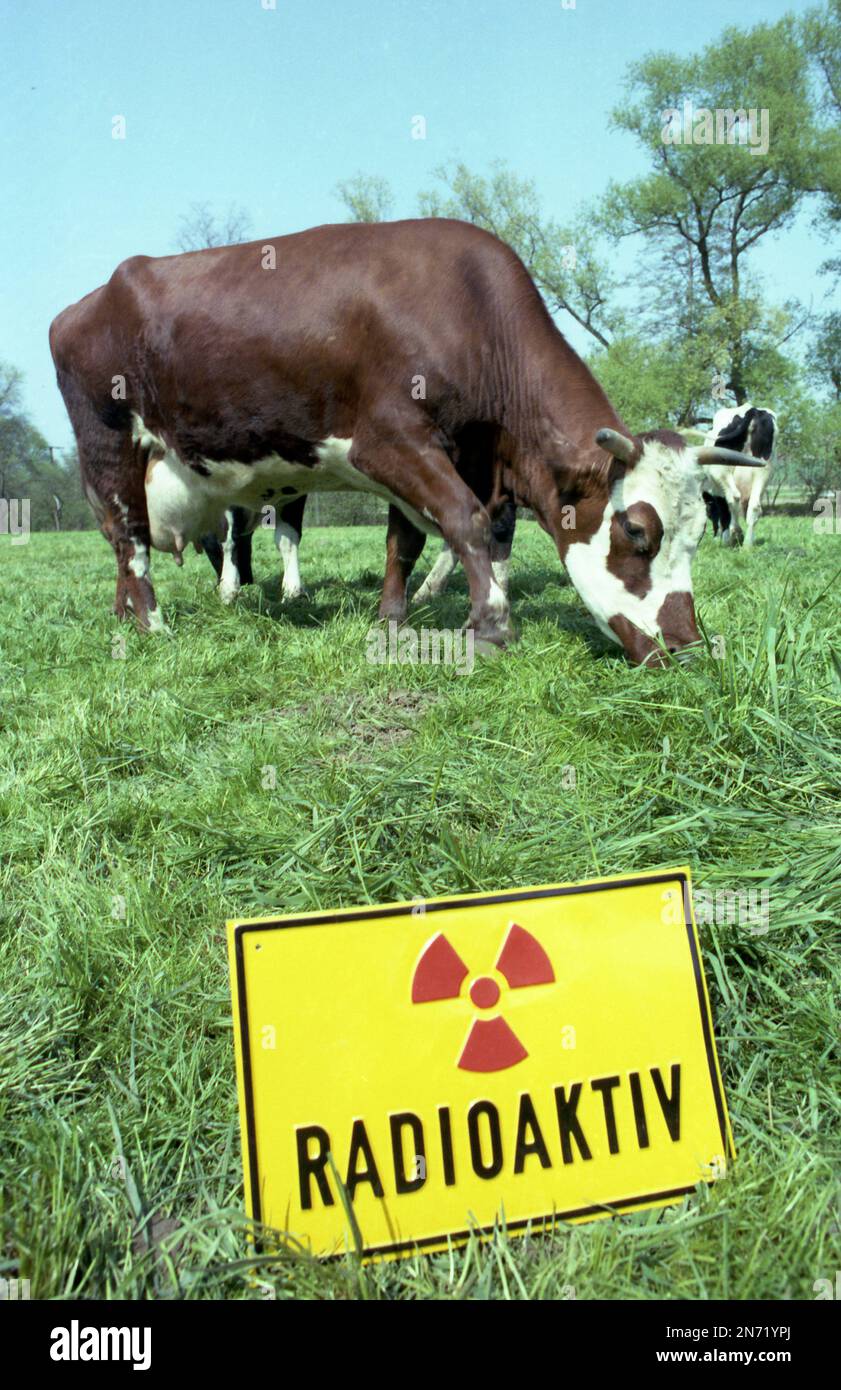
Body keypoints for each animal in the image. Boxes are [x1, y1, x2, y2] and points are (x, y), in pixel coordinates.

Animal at [49, 218, 766, 665]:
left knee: (121, 546)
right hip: (108, 443)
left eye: (697, 534)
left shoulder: (445, 456)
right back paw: (151, 625)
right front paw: (490, 627)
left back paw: (124, 619)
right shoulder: (390, 442)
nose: (687, 648)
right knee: (132, 539)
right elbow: (465, 522)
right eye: (636, 533)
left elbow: (408, 540)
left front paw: (390, 620)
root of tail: (82, 304)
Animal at [701, 404, 777, 547]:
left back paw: (736, 533)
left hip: (721, 470)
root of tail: (752, 410)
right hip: (764, 469)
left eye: (708, 511)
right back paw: (747, 545)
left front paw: (725, 539)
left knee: (734, 496)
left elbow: (724, 511)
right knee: (754, 506)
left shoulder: (717, 490)